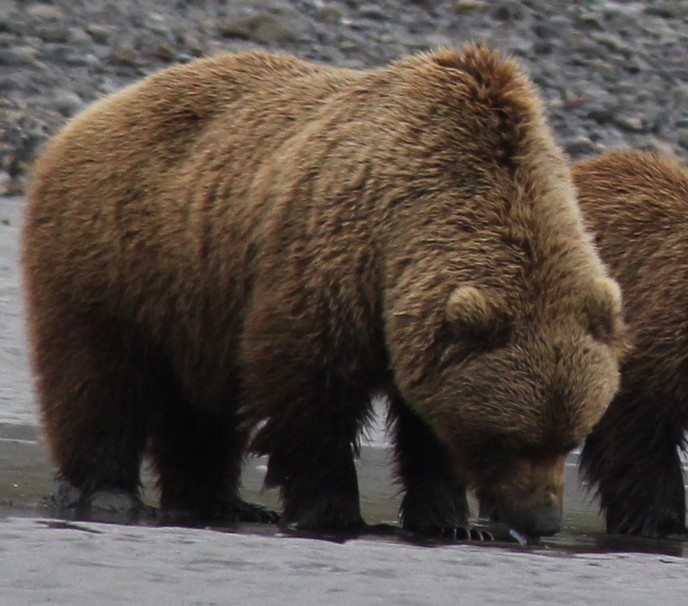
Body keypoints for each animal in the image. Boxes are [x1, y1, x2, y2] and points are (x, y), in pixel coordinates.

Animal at [21, 44, 626, 540]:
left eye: (570, 438)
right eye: (510, 439)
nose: (544, 521)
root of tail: (90, 113)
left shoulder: (412, 314)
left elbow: (427, 421)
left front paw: (450, 519)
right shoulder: (337, 259)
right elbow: (309, 388)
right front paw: (332, 510)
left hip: (195, 295)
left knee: (201, 405)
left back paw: (219, 500)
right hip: (116, 253)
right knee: (98, 375)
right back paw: (109, 491)